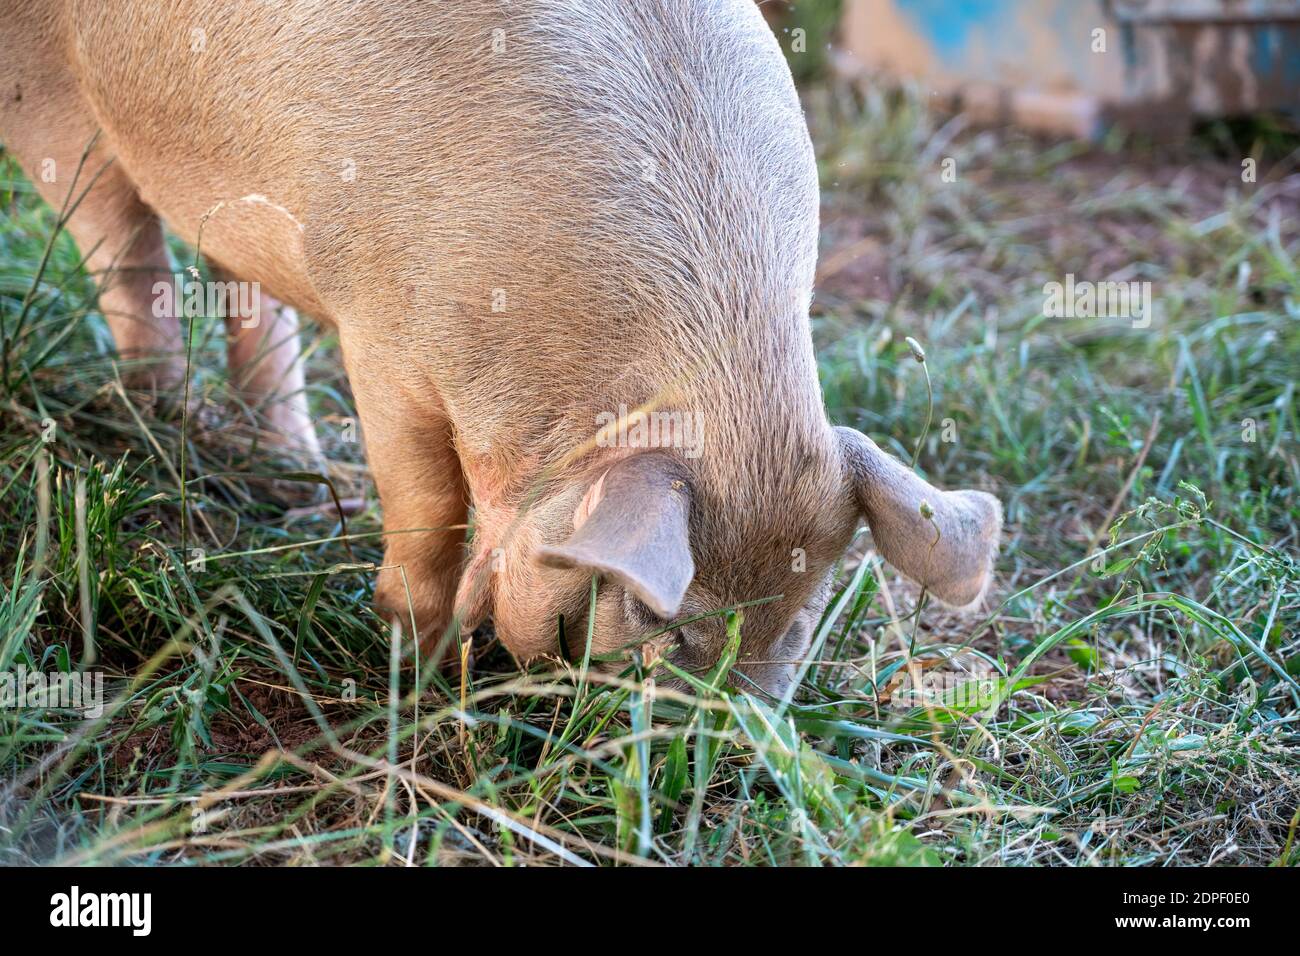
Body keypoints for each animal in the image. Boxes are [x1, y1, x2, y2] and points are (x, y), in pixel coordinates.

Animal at [0, 0, 1001, 695]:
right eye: (662, 619)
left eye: (800, 621)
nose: (731, 729)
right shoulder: (383, 341)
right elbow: (427, 501)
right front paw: (414, 659)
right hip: (51, 99)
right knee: (122, 247)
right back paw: (160, 419)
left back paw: (286, 463)